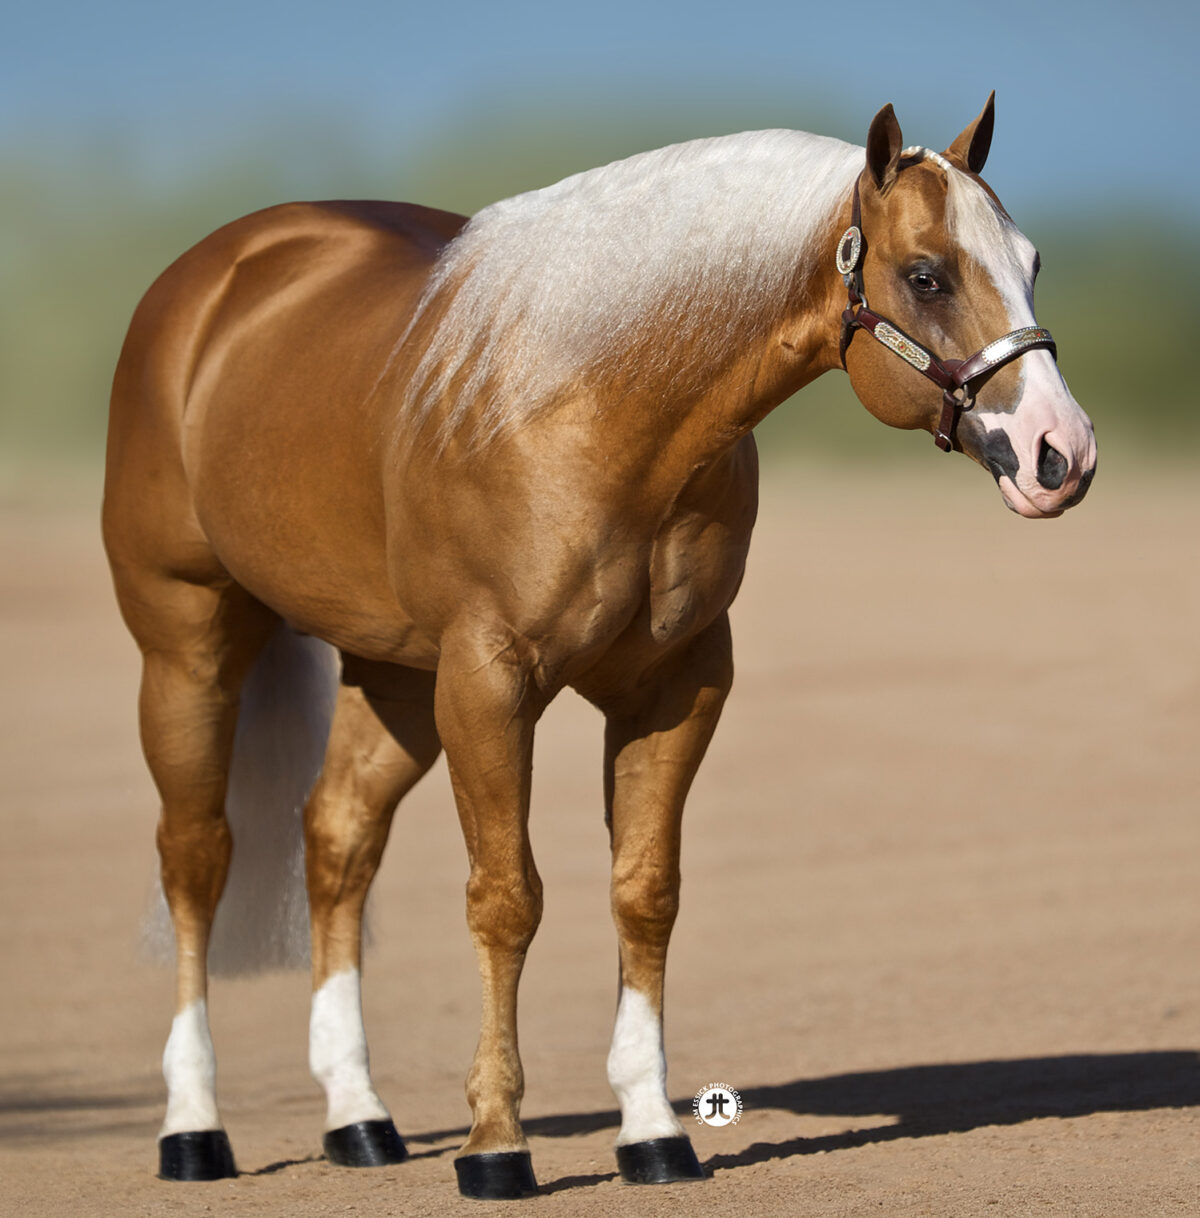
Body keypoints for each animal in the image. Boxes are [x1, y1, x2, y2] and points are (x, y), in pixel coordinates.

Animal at [102, 95, 1096, 1199]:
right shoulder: (489, 684)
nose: (1060, 453)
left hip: (394, 677)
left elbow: (645, 895)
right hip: (188, 643)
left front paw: (652, 1132)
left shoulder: (675, 688)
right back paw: (193, 1129)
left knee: (336, 840)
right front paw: (497, 1144)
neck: (599, 403)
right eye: (927, 274)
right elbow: (507, 900)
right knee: (196, 857)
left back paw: (358, 1118)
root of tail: (211, 280)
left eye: (1032, 261)